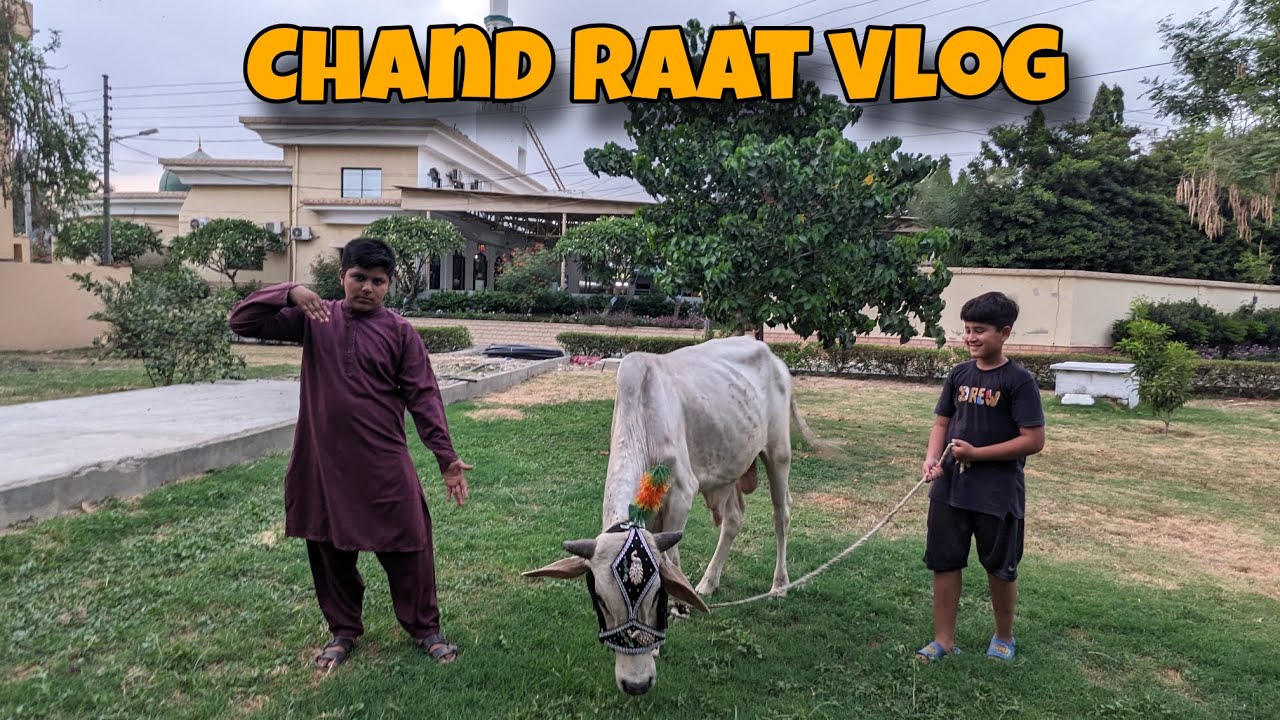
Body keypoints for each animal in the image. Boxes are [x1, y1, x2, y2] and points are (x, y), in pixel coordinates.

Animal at [524, 336, 821, 695]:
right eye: (601, 600)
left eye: (656, 595)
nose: (636, 683)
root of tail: (771, 355)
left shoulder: (682, 490)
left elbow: (672, 558)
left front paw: (673, 617)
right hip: (727, 468)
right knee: (734, 518)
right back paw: (708, 582)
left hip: (778, 451)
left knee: (782, 514)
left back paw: (779, 584)